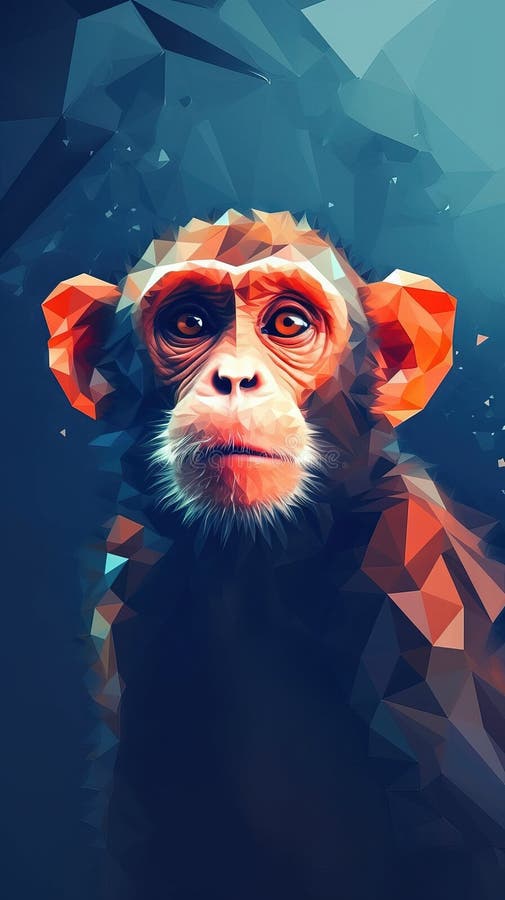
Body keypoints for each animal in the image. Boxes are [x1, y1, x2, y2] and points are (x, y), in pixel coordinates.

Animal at [42, 211, 505, 900]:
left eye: (288, 323)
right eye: (188, 324)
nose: (235, 379)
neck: (255, 558)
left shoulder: (414, 578)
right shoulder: (129, 590)